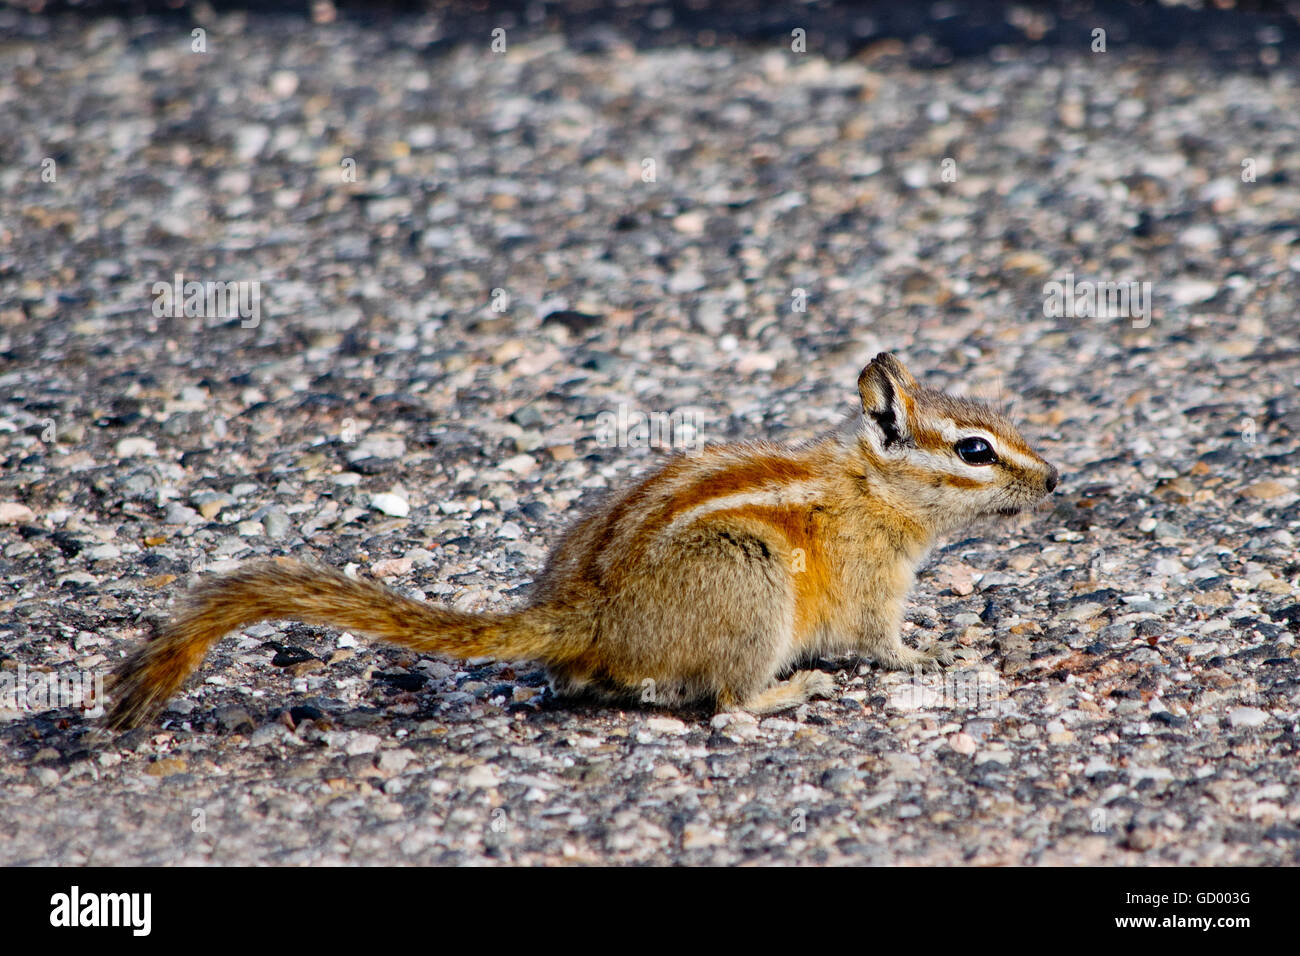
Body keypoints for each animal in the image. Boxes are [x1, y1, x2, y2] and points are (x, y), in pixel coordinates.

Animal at [105, 352, 1059, 729]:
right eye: (975, 451)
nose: (1056, 481)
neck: (870, 488)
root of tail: (588, 613)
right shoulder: (870, 581)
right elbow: (879, 639)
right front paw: (931, 655)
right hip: (749, 580)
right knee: (720, 702)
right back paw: (788, 694)